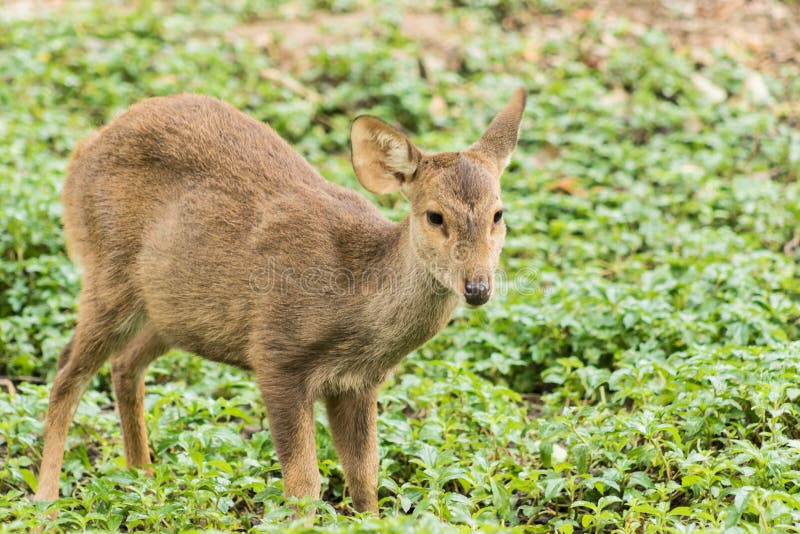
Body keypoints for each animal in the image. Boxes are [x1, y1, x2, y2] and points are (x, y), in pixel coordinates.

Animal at [34, 88, 526, 514]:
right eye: (434, 215)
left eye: (498, 213)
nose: (477, 287)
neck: (353, 304)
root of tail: (83, 149)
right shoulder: (276, 355)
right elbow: (304, 485)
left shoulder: (359, 382)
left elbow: (365, 474)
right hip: (106, 271)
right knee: (66, 374)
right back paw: (46, 503)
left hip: (171, 311)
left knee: (124, 364)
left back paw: (144, 482)